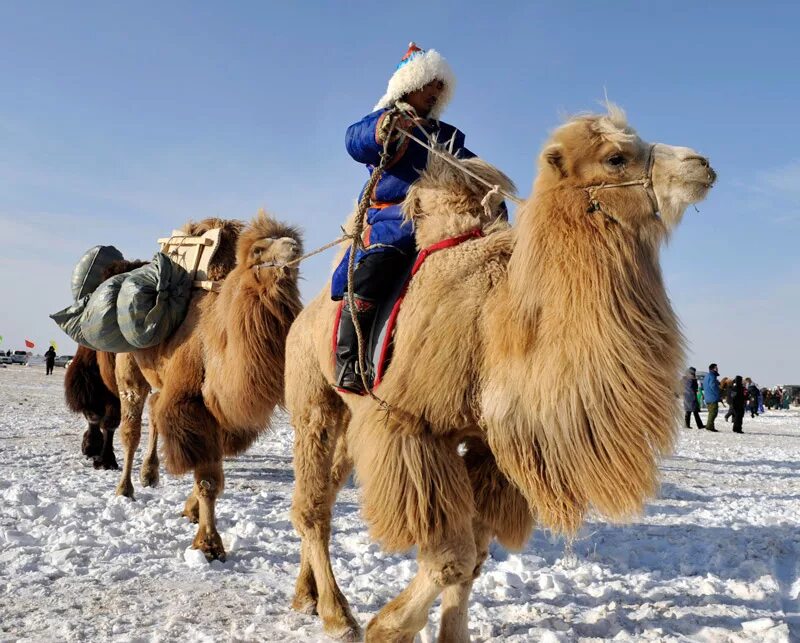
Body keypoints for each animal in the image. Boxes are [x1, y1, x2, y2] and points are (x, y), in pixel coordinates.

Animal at [116, 214, 306, 560]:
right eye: (259, 250)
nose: (292, 248)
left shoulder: (222, 416)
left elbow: (212, 473)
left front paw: (192, 513)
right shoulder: (191, 402)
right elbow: (206, 479)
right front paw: (209, 545)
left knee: (154, 408)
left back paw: (150, 474)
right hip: (130, 365)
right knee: (132, 424)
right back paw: (125, 488)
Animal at [288, 108, 720, 640]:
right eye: (616, 157)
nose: (701, 164)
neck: (493, 324)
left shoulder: (491, 446)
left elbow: (473, 559)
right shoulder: (410, 427)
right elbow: (451, 558)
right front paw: (388, 627)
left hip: (351, 421)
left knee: (324, 494)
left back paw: (307, 596)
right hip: (313, 399)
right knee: (311, 505)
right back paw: (337, 614)